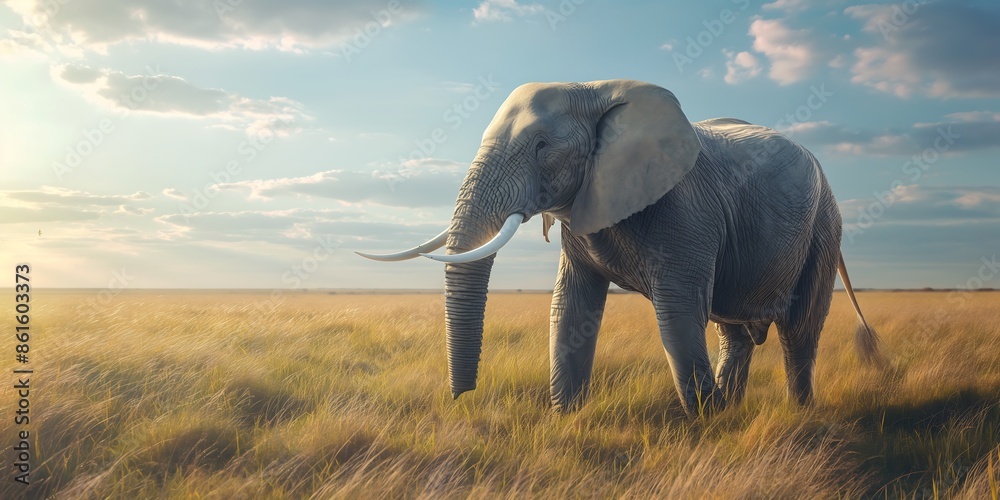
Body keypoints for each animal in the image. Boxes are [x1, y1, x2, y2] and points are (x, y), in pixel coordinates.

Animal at [358, 79, 883, 416]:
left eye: (542, 147)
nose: (461, 400)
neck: (595, 89)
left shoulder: (685, 210)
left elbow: (676, 313)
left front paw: (706, 427)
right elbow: (569, 306)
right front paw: (567, 420)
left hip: (823, 228)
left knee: (800, 329)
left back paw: (795, 414)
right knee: (733, 332)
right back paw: (735, 410)